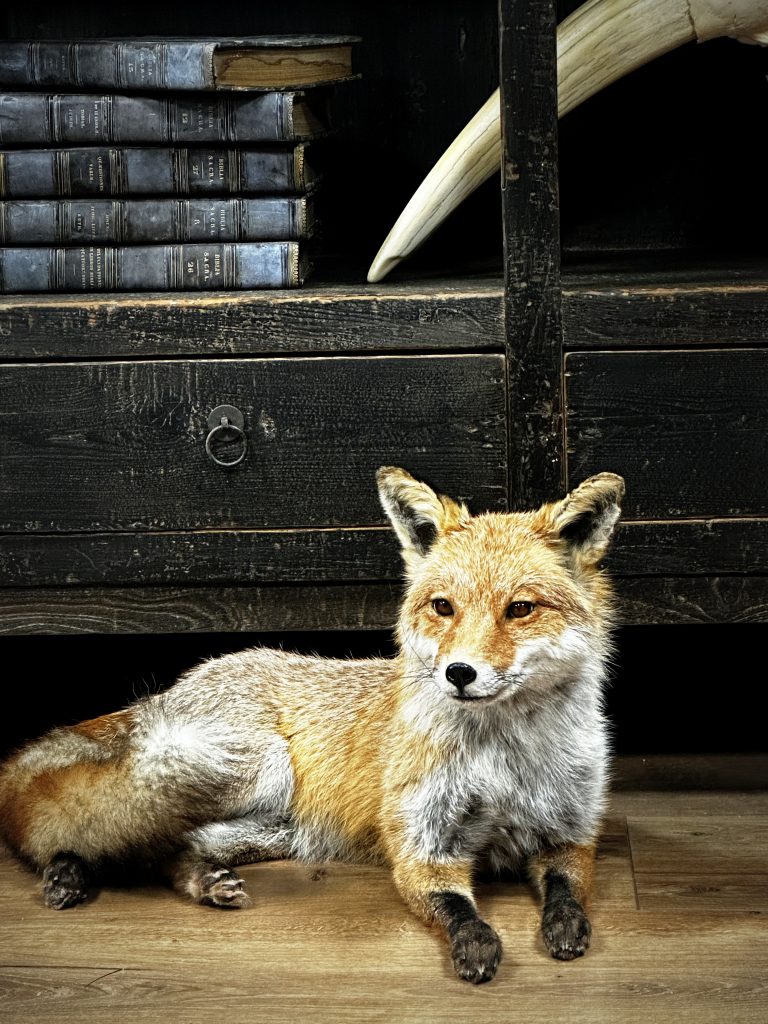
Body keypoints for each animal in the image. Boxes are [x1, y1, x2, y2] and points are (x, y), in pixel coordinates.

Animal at [0, 465, 624, 983]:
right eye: (443, 607)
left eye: (520, 609)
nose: (459, 673)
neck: (505, 765)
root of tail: (181, 683)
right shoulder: (423, 845)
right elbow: (457, 908)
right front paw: (474, 944)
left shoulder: (570, 833)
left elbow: (567, 889)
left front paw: (565, 925)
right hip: (254, 771)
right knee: (109, 823)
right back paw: (66, 871)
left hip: (281, 827)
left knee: (167, 848)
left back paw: (191, 880)